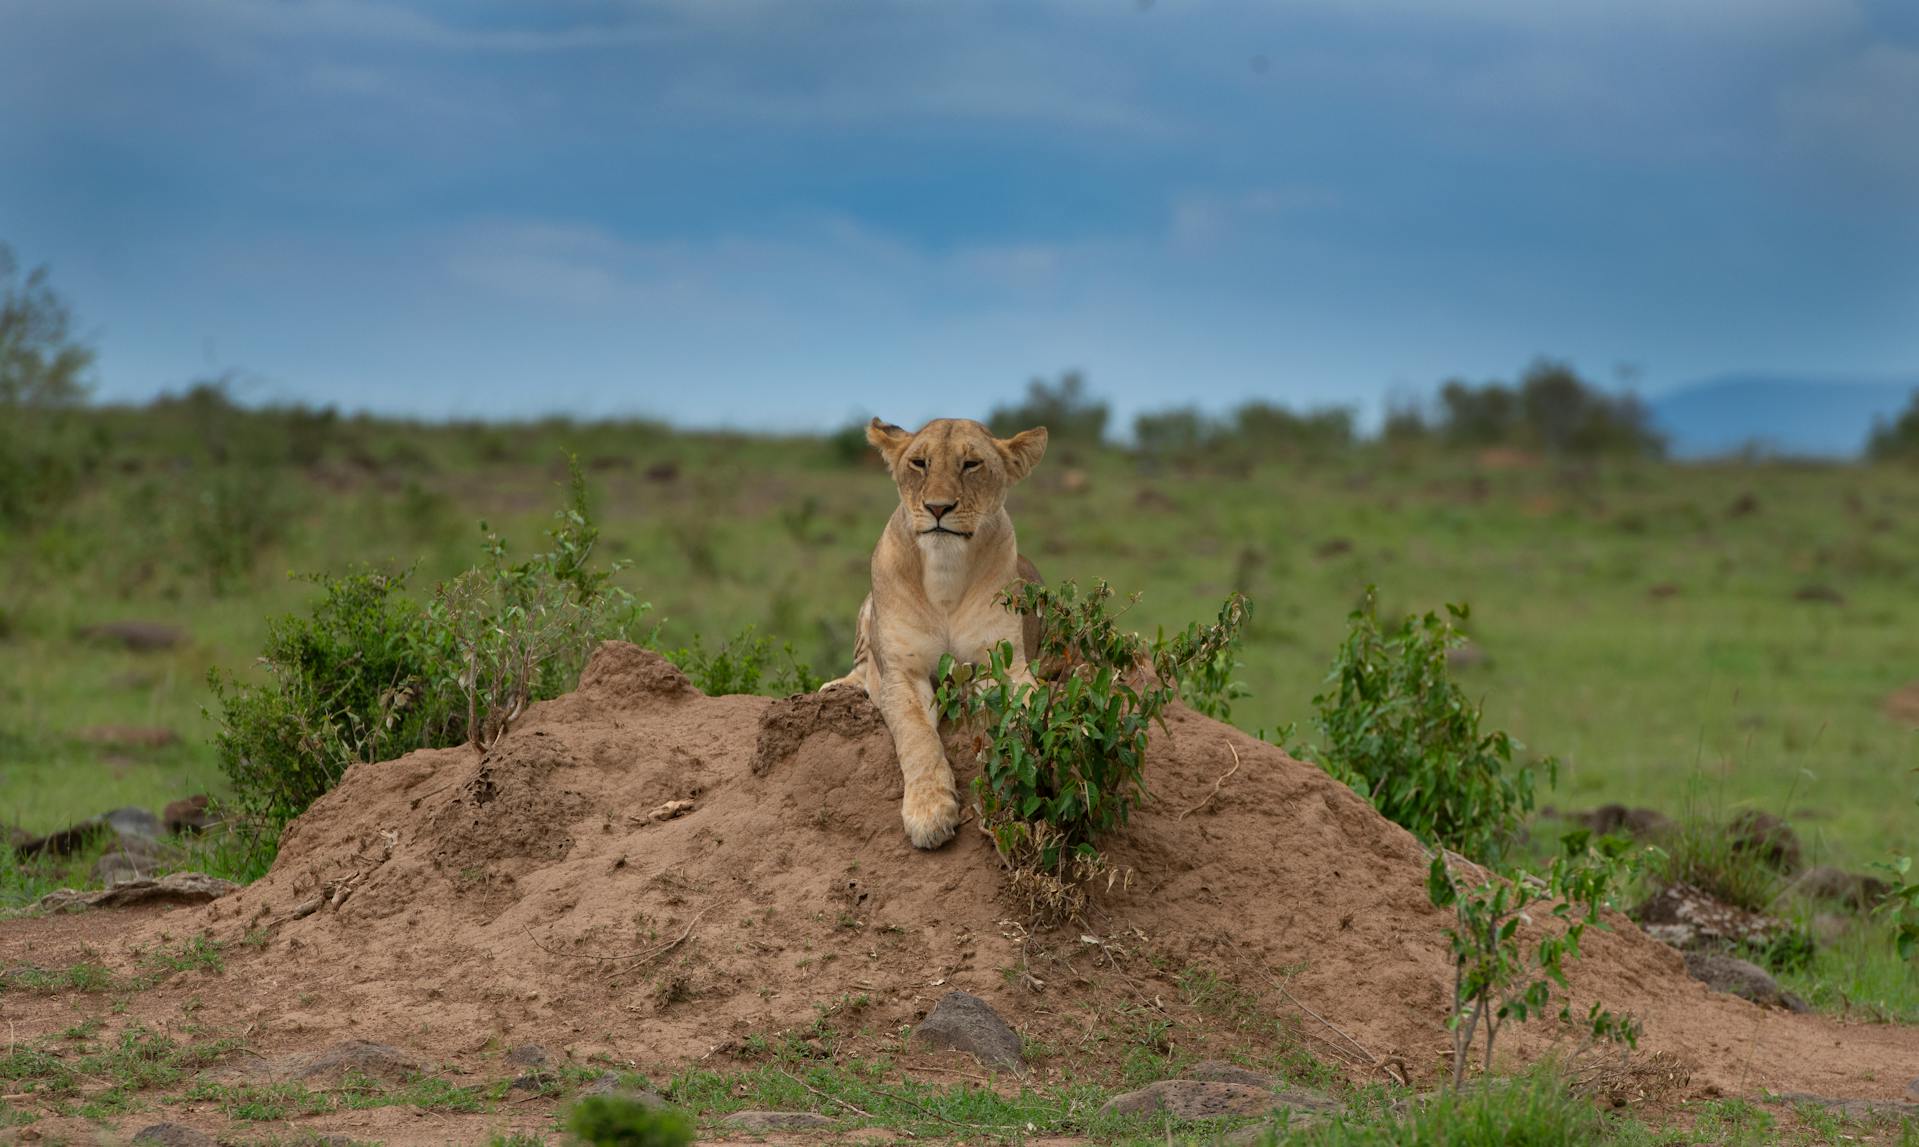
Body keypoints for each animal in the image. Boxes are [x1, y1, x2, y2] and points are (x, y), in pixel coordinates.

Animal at [822, 416, 1048, 849]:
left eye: (971, 464)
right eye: (919, 463)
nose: (938, 508)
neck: (945, 573)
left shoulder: (1007, 663)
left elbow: (1030, 707)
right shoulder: (901, 673)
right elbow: (918, 739)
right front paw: (929, 813)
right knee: (860, 667)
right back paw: (837, 688)